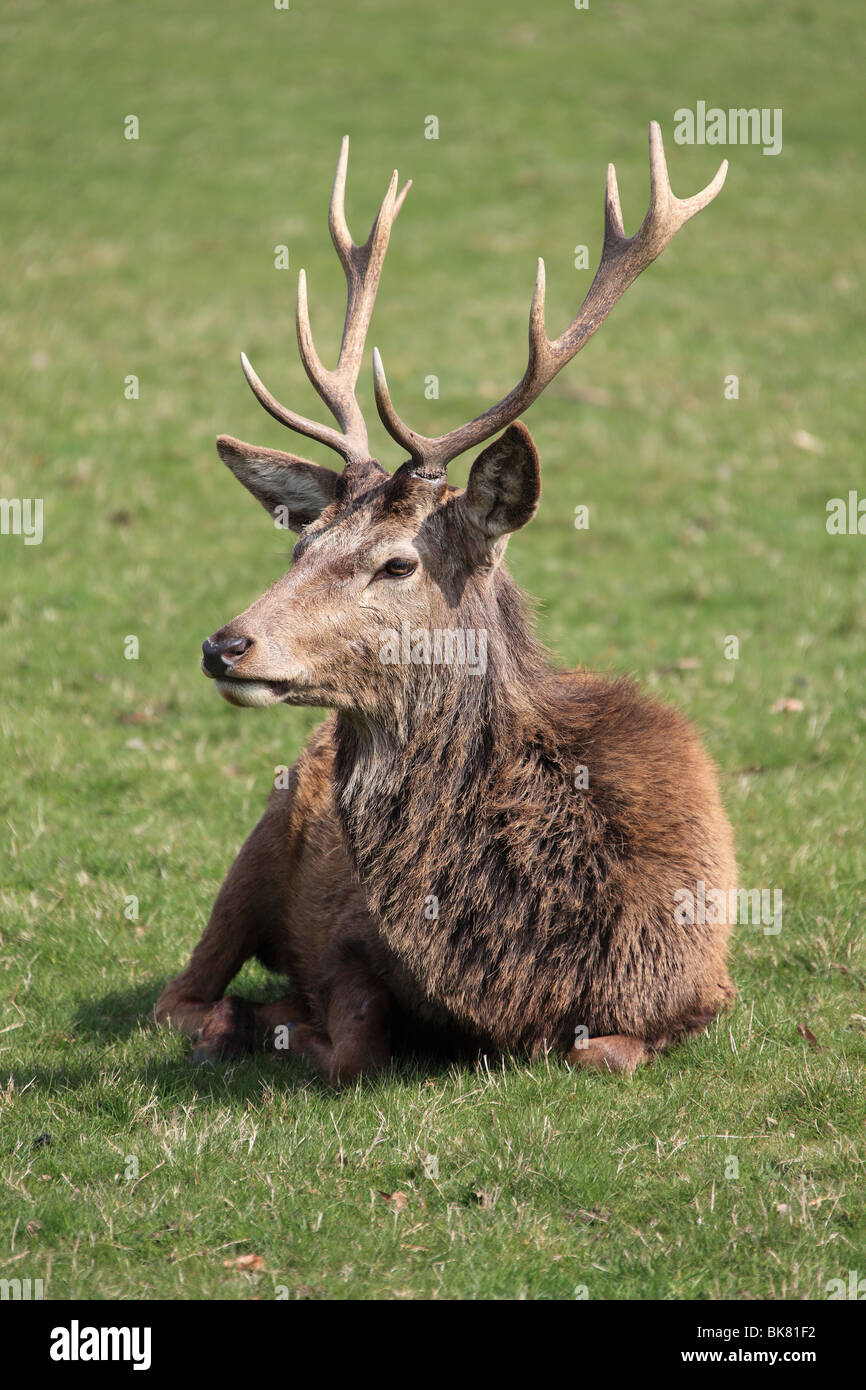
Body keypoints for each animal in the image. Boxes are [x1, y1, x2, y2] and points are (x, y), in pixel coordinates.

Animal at [155, 124, 737, 1084]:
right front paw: (280, 1024)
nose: (224, 645)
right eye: (301, 545)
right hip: (258, 844)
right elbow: (354, 1040)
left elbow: (603, 1052)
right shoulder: (350, 937)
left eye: (397, 564)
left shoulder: (699, 983)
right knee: (180, 995)